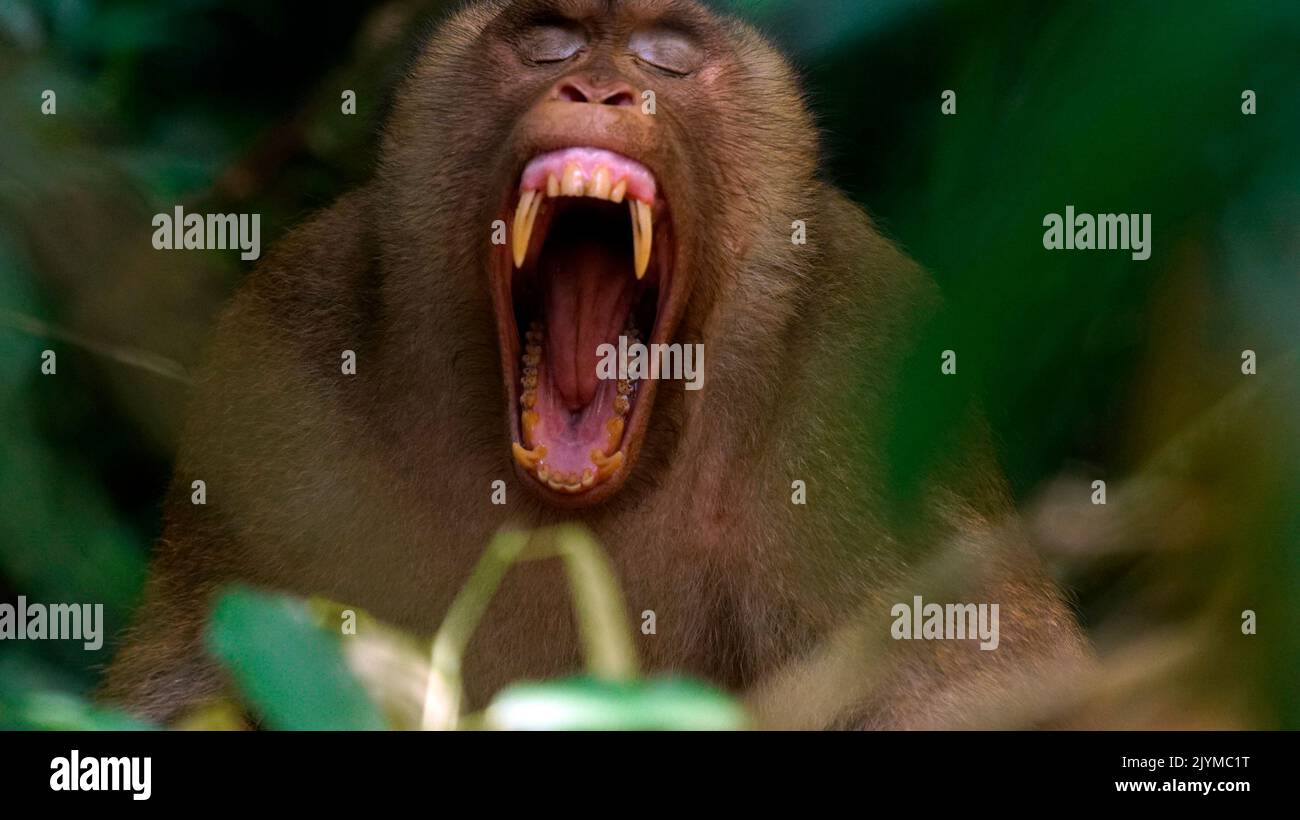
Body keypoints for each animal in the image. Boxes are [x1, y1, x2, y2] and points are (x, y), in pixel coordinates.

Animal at [102, 0, 1089, 728]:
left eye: (665, 58)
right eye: (550, 43)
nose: (600, 89)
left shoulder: (874, 358)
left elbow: (970, 683)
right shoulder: (287, 344)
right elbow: (186, 682)